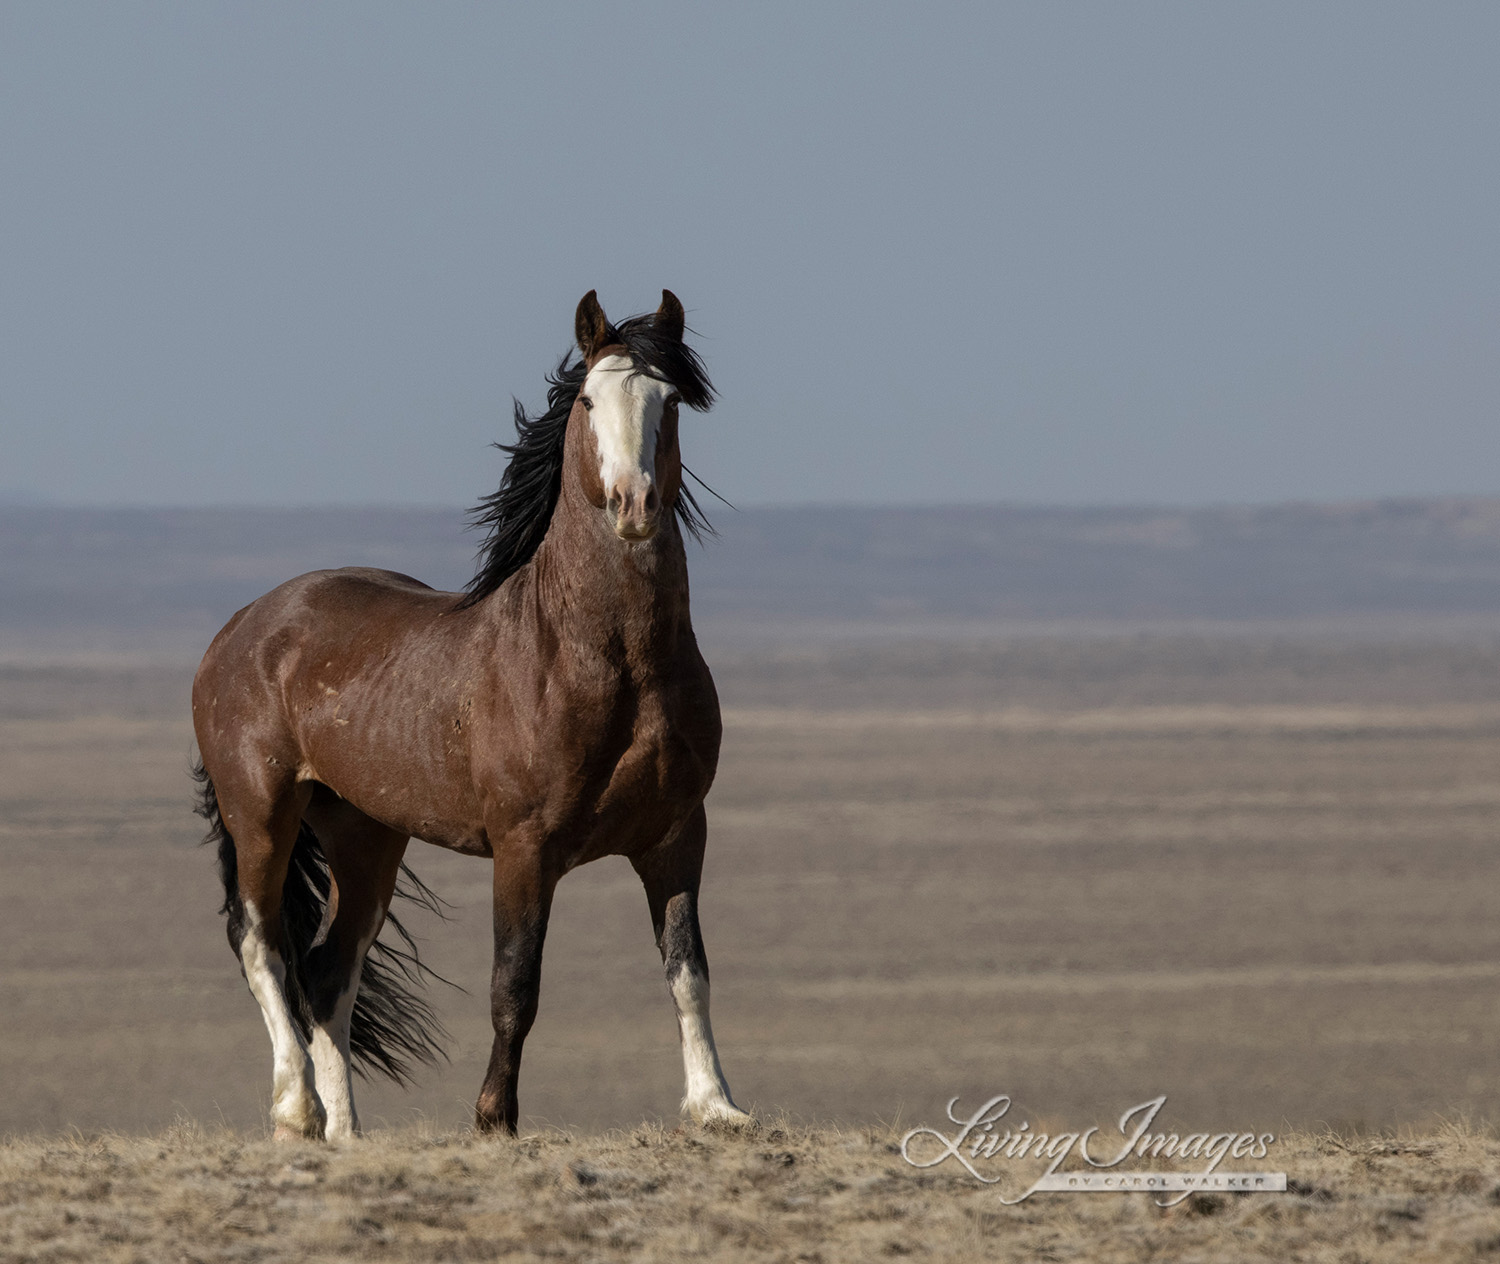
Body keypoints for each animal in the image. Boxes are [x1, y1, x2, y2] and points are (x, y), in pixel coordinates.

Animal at [191, 290, 750, 1139]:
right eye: (589, 402)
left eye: (672, 401)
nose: (634, 505)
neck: (608, 662)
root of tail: (243, 626)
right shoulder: (524, 848)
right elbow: (514, 984)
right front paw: (495, 1117)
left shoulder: (677, 835)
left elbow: (688, 968)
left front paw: (716, 1106)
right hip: (262, 810)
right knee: (261, 943)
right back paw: (298, 1111)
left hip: (365, 836)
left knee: (328, 974)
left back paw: (348, 1135)